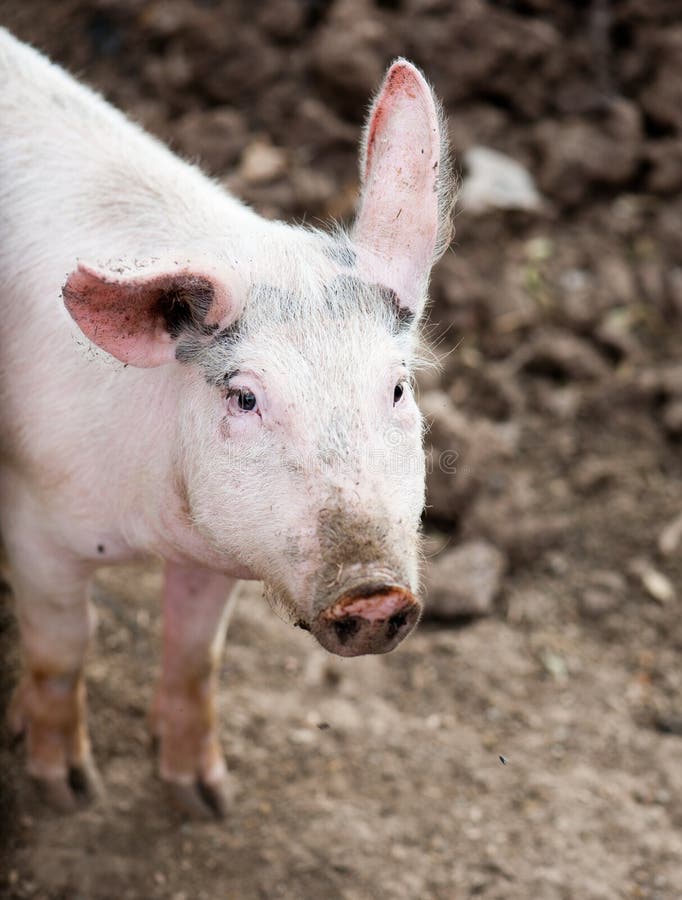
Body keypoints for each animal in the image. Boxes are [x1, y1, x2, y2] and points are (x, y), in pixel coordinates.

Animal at [0, 27, 455, 818]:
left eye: (397, 388)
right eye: (244, 399)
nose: (373, 592)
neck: (155, 528)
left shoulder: (215, 554)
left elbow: (195, 655)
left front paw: (205, 799)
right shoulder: (35, 519)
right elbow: (64, 647)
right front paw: (68, 793)